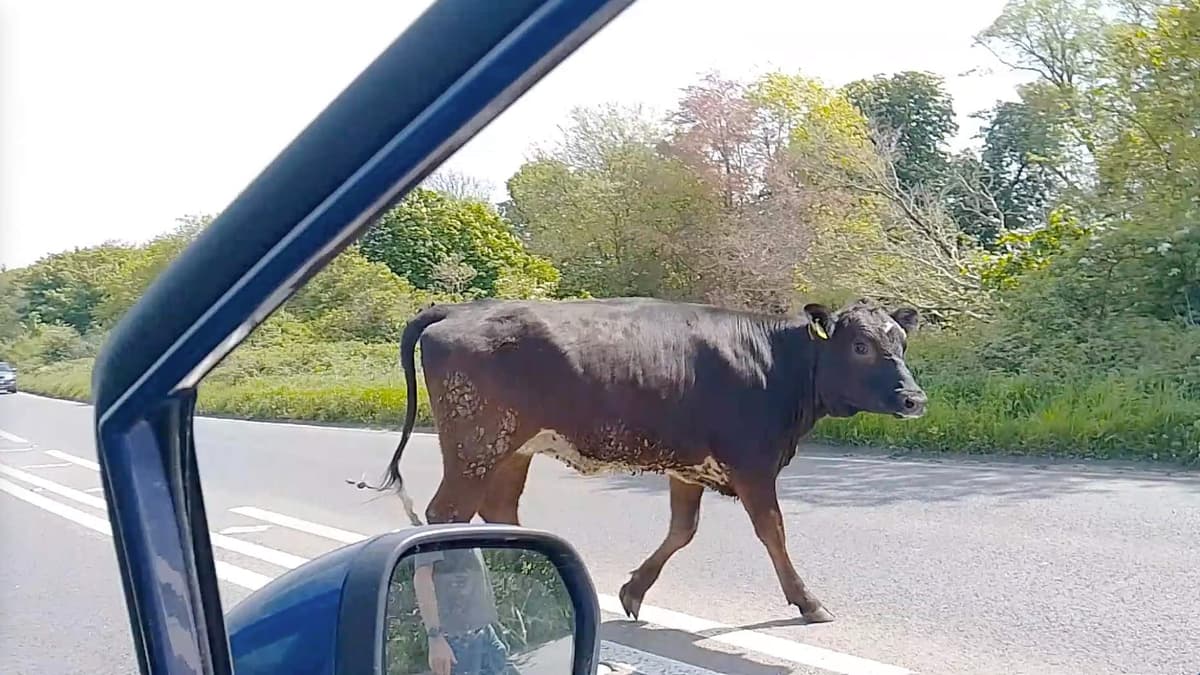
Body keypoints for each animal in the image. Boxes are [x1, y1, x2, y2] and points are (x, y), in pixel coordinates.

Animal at [370, 296, 926, 624]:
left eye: (900, 341)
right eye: (860, 345)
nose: (914, 398)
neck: (776, 363)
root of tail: (456, 309)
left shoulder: (690, 467)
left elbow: (683, 530)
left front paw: (632, 591)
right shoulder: (752, 464)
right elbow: (773, 531)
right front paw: (809, 602)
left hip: (513, 448)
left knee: (497, 511)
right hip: (476, 443)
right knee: (447, 514)